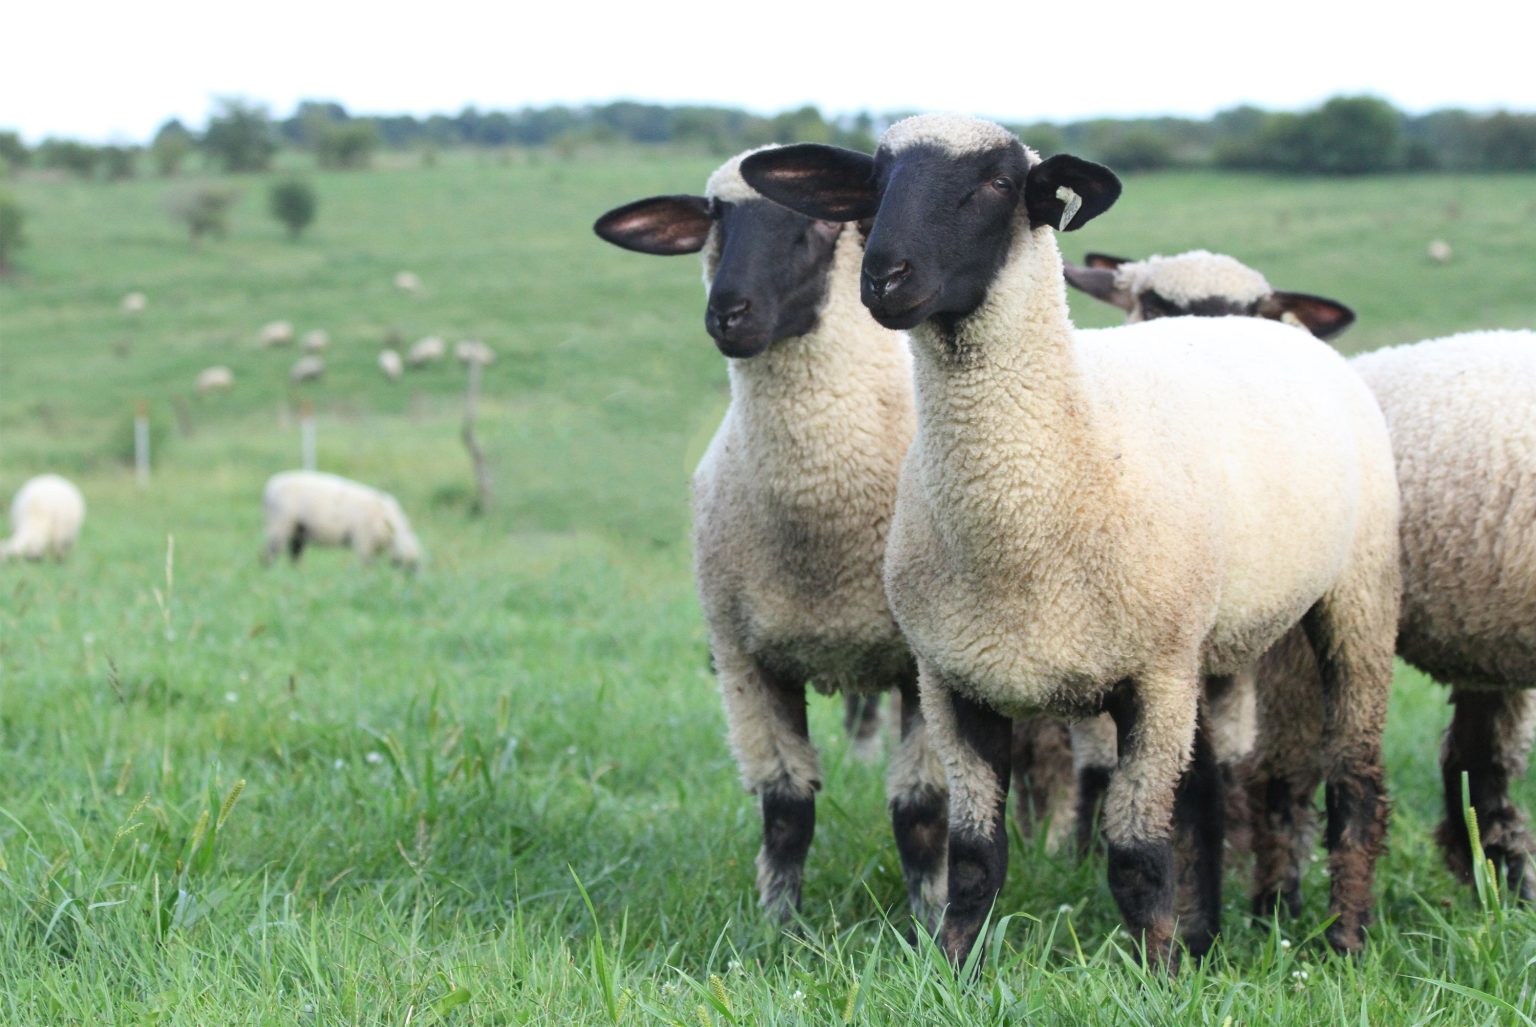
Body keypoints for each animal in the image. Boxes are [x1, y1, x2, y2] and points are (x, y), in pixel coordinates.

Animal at [262, 471, 422, 569]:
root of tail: (270, 487)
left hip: (298, 529)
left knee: (294, 554)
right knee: (269, 554)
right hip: (280, 524)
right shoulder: (363, 540)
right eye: (408, 567)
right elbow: (366, 566)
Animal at [593, 147, 948, 929]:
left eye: (818, 223)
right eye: (715, 219)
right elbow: (786, 809)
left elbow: (920, 811)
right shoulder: (747, 659)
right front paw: (779, 928)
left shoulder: (923, 662)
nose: (728, 313)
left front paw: (929, 925)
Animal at [742, 114, 1399, 967]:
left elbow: (1137, 856)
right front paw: (952, 969)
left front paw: (1159, 976)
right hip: (1202, 646)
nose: (885, 277)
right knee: (1203, 790)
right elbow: (975, 854)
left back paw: (1346, 939)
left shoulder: (1150, 674)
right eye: (875, 182)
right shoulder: (955, 680)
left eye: (997, 182)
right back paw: (1206, 933)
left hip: (1358, 593)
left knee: (1355, 776)